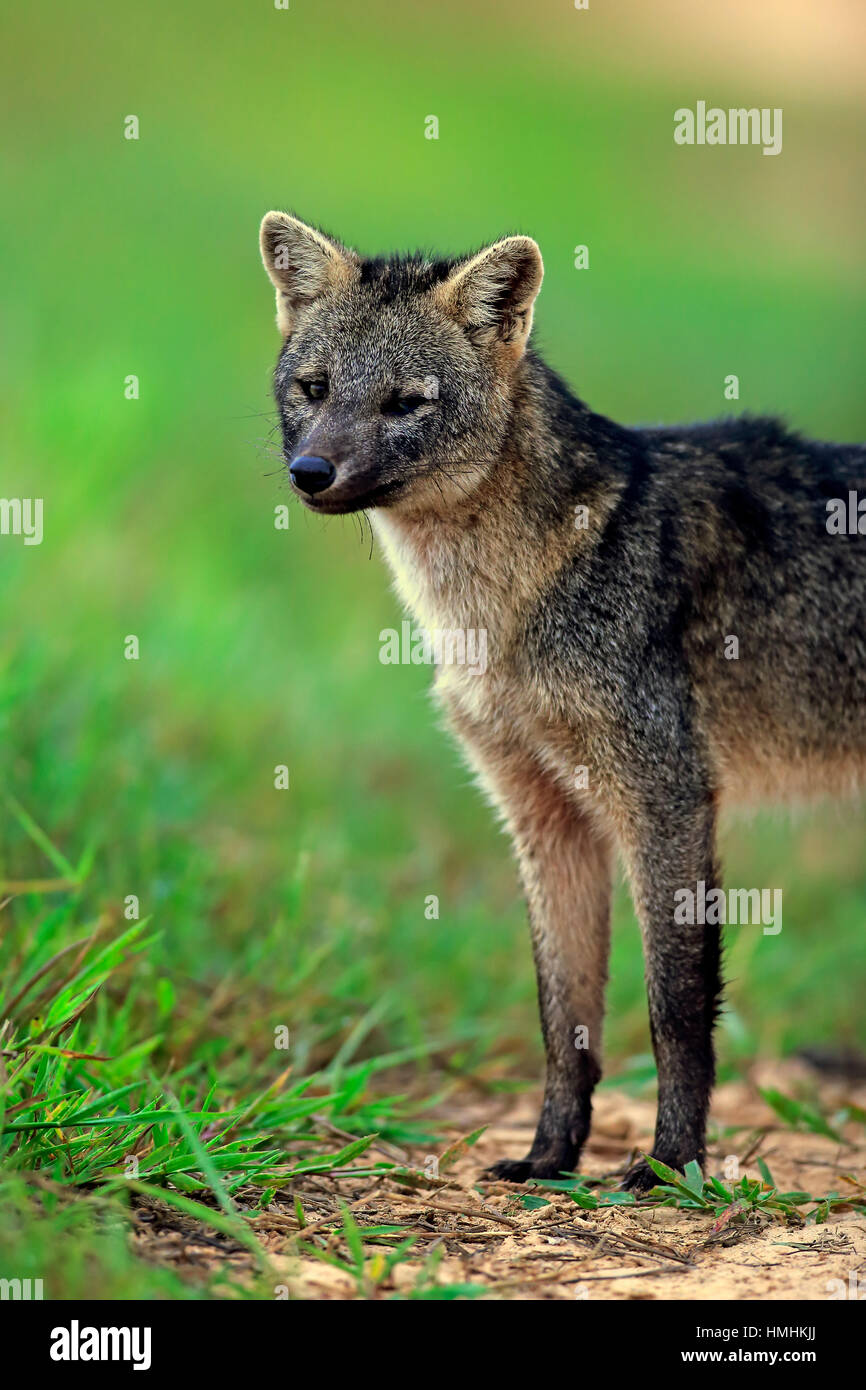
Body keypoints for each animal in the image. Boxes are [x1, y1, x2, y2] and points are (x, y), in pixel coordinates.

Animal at [259, 211, 866, 1189]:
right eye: (313, 389)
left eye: (406, 402)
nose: (311, 472)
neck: (497, 612)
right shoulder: (545, 813)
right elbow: (564, 1015)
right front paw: (550, 1158)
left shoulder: (665, 797)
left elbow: (675, 1011)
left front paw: (670, 1168)